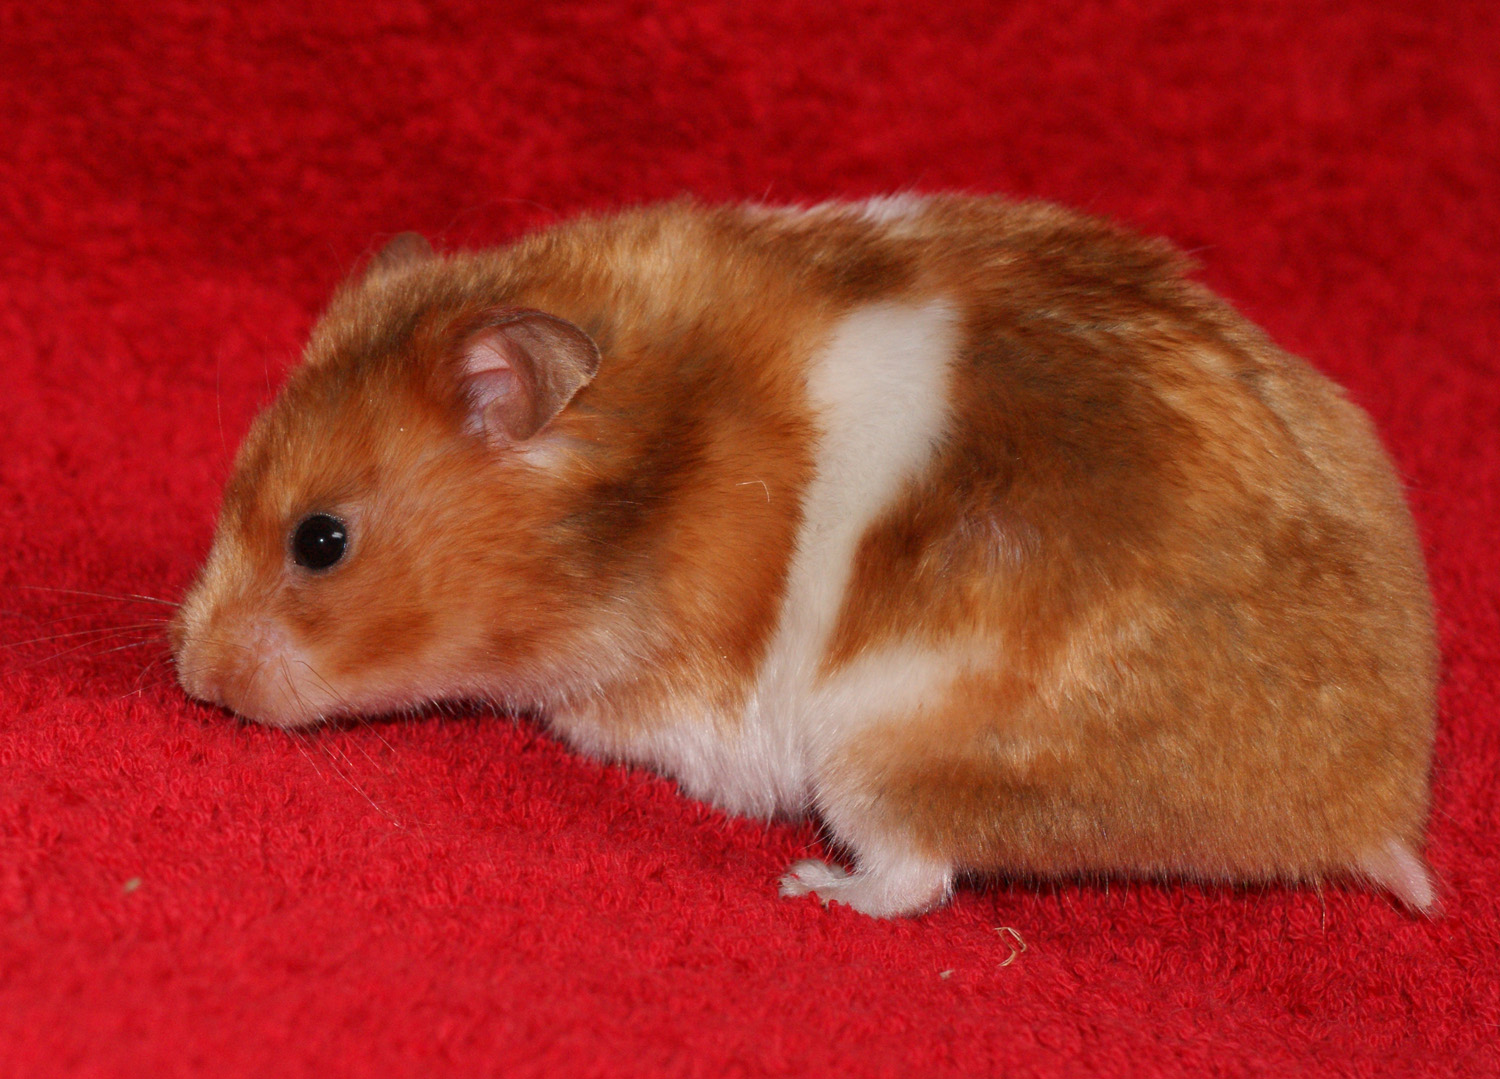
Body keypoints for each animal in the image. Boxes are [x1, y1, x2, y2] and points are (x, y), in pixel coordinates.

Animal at [171, 195, 1439, 918]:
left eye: (321, 540)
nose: (193, 678)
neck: (654, 457)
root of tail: (1368, 803)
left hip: (882, 752)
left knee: (917, 878)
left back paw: (812, 885)